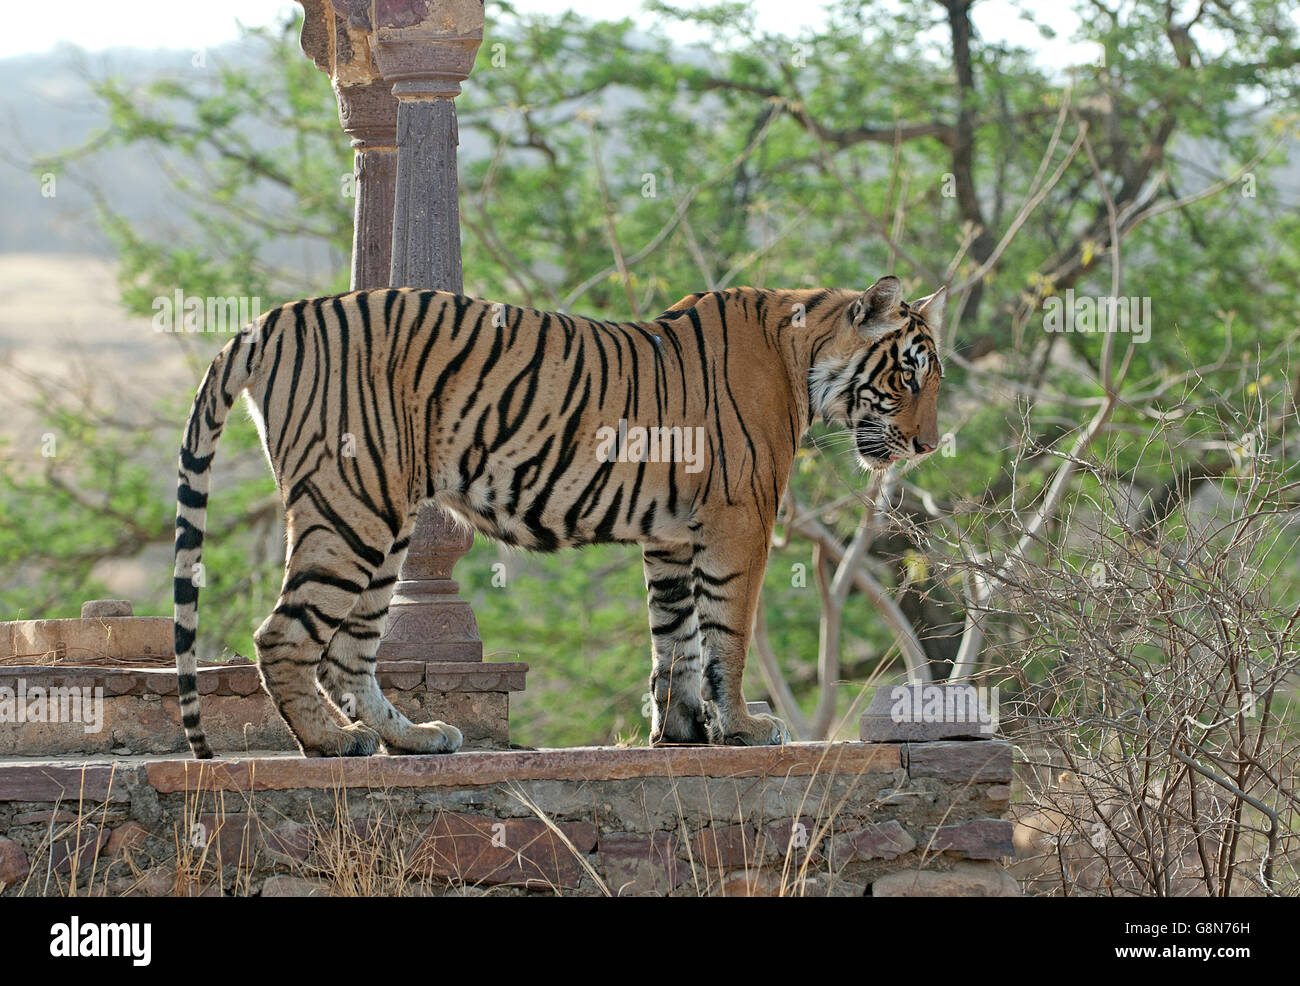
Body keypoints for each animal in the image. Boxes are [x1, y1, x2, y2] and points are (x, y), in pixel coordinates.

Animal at [173, 274, 944, 759]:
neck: (803, 355)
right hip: (351, 508)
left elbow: (676, 639)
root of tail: (270, 319)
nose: (930, 445)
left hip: (382, 523)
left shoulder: (671, 534)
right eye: (908, 376)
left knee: (348, 652)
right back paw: (329, 744)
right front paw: (745, 729)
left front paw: (682, 731)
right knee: (283, 636)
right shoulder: (739, 520)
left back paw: (411, 739)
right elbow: (727, 633)